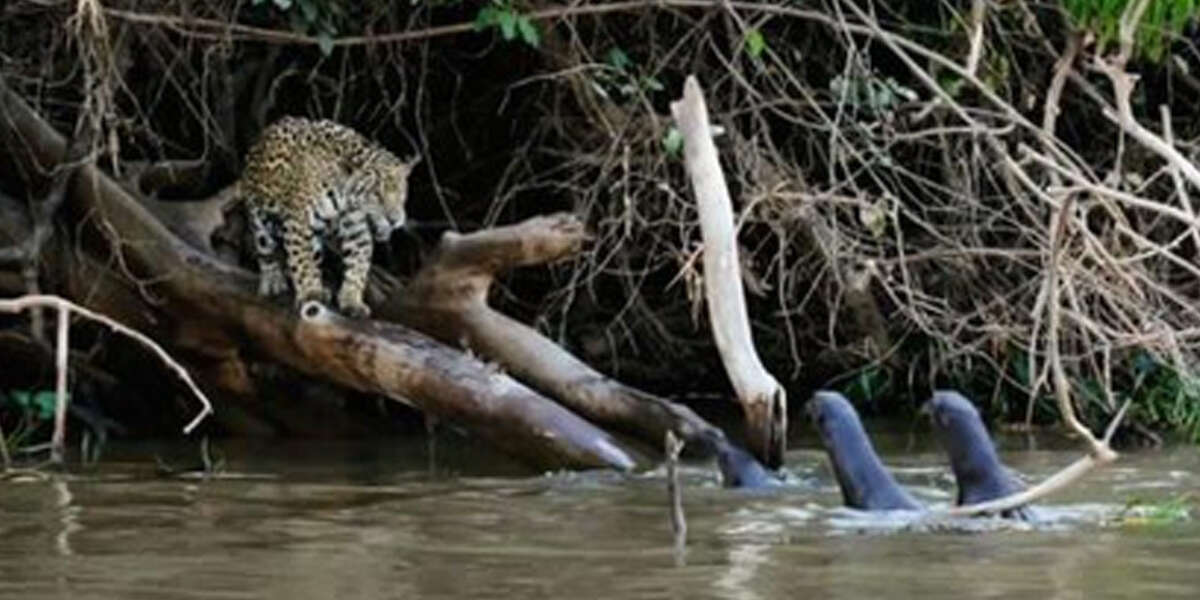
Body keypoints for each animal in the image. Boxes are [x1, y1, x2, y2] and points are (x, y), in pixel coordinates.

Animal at [237, 116, 418, 318]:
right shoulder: (299, 223)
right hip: (258, 214)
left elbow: (358, 264)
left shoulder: (356, 228)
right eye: (376, 194)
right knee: (265, 248)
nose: (394, 221)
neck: (346, 198)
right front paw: (309, 293)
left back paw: (321, 288)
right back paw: (273, 281)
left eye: (402, 192)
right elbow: (302, 261)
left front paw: (352, 300)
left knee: (314, 255)